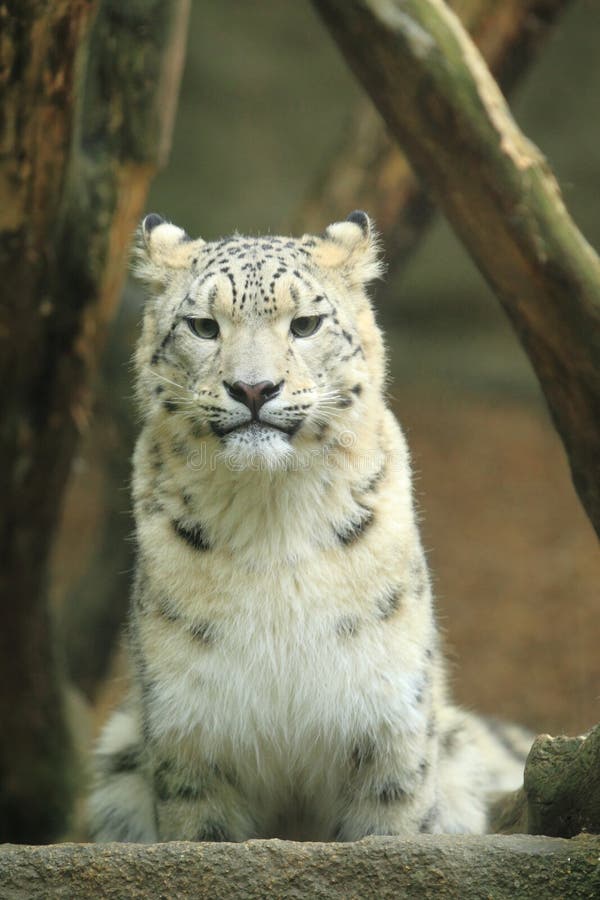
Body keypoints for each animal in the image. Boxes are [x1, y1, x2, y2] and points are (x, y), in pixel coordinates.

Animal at [88, 211, 531, 842]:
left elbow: (394, 827)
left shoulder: (389, 722)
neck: (271, 519)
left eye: (305, 324)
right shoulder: (190, 735)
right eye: (204, 326)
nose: (253, 388)